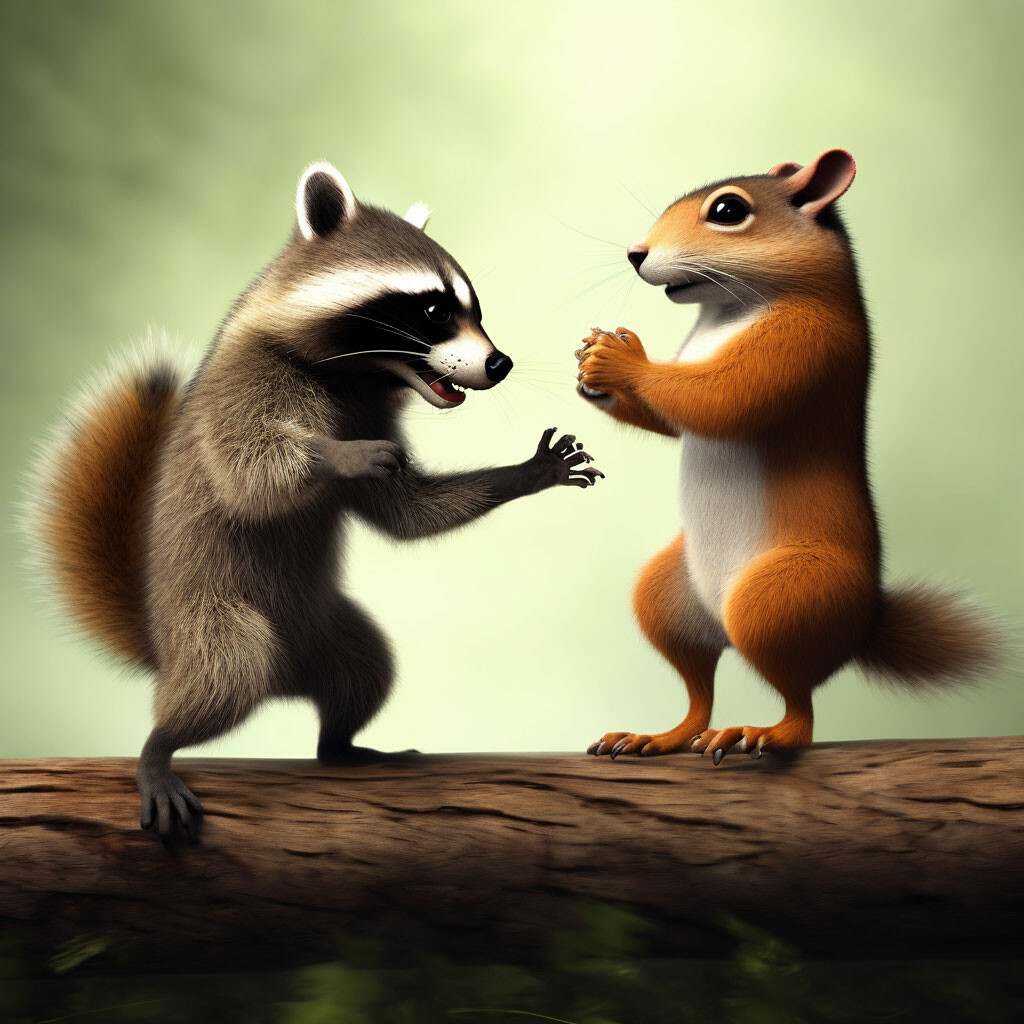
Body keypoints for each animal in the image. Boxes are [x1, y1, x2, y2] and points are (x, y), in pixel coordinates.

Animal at [24, 161, 603, 837]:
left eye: (475, 309)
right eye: (434, 309)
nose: (501, 362)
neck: (357, 374)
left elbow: (407, 513)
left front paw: (526, 472)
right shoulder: (246, 384)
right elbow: (247, 472)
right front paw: (337, 456)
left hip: (331, 630)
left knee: (367, 669)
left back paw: (341, 745)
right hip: (213, 616)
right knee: (229, 670)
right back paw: (157, 750)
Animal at [576, 148, 1002, 764]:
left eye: (728, 210)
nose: (636, 254)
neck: (725, 311)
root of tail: (860, 628)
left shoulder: (804, 338)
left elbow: (719, 399)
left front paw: (619, 358)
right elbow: (670, 419)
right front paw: (591, 367)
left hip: (785, 598)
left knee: (799, 703)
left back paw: (762, 733)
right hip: (665, 600)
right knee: (698, 687)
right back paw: (661, 737)